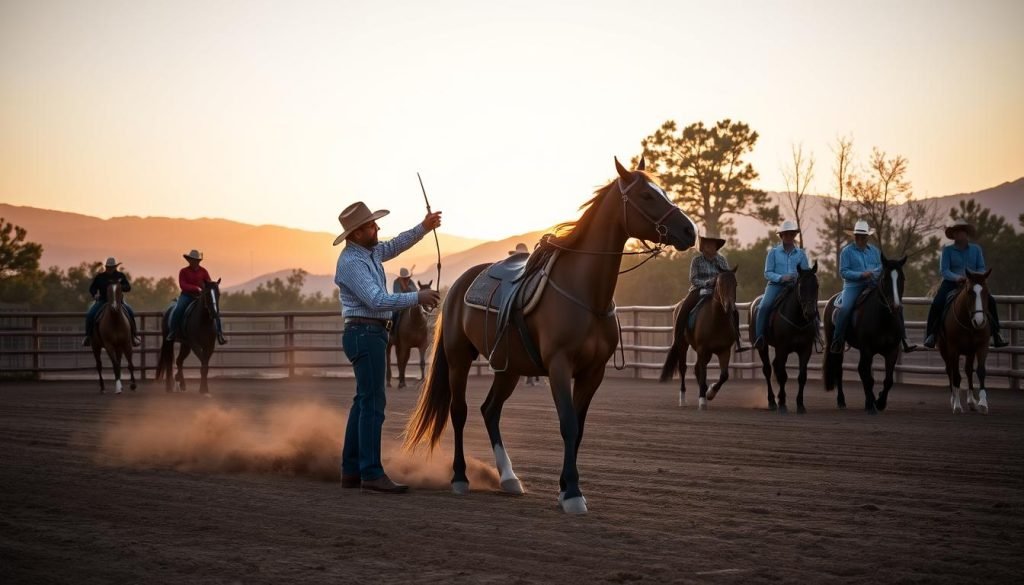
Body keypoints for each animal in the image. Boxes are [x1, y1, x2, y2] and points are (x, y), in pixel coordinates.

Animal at [403, 157, 697, 514]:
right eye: (646, 195)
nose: (689, 231)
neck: (585, 295)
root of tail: (461, 284)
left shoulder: (593, 372)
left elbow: (578, 429)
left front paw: (566, 485)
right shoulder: (559, 366)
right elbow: (567, 424)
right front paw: (572, 494)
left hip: (509, 368)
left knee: (490, 410)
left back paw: (509, 478)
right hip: (459, 360)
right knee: (459, 413)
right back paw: (460, 478)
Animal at [659, 267, 740, 410]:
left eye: (735, 284)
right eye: (720, 284)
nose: (729, 306)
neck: (717, 320)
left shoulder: (724, 351)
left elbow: (724, 375)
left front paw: (710, 393)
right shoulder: (702, 349)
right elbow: (703, 373)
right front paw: (702, 400)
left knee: (697, 368)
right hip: (683, 345)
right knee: (684, 368)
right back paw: (683, 400)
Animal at [748, 262, 820, 413]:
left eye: (816, 285)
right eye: (801, 286)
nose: (810, 313)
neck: (798, 319)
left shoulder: (806, 349)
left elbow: (802, 376)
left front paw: (800, 405)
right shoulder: (782, 348)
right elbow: (783, 376)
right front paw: (782, 404)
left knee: (775, 366)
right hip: (762, 347)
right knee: (768, 370)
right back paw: (771, 402)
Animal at [823, 255, 908, 414]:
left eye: (902, 278)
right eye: (885, 278)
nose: (896, 306)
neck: (883, 319)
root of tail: (831, 300)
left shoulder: (892, 351)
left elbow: (888, 380)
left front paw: (880, 402)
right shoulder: (867, 350)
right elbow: (868, 377)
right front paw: (871, 404)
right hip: (837, 344)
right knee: (840, 370)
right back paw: (842, 401)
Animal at [938, 269, 993, 414]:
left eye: (986, 291)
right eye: (969, 292)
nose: (979, 321)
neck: (969, 324)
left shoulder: (982, 346)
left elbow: (980, 371)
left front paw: (983, 403)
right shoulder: (953, 349)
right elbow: (957, 375)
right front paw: (957, 405)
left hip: (970, 352)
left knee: (968, 370)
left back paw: (971, 401)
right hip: (944, 350)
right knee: (950, 370)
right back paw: (953, 399)